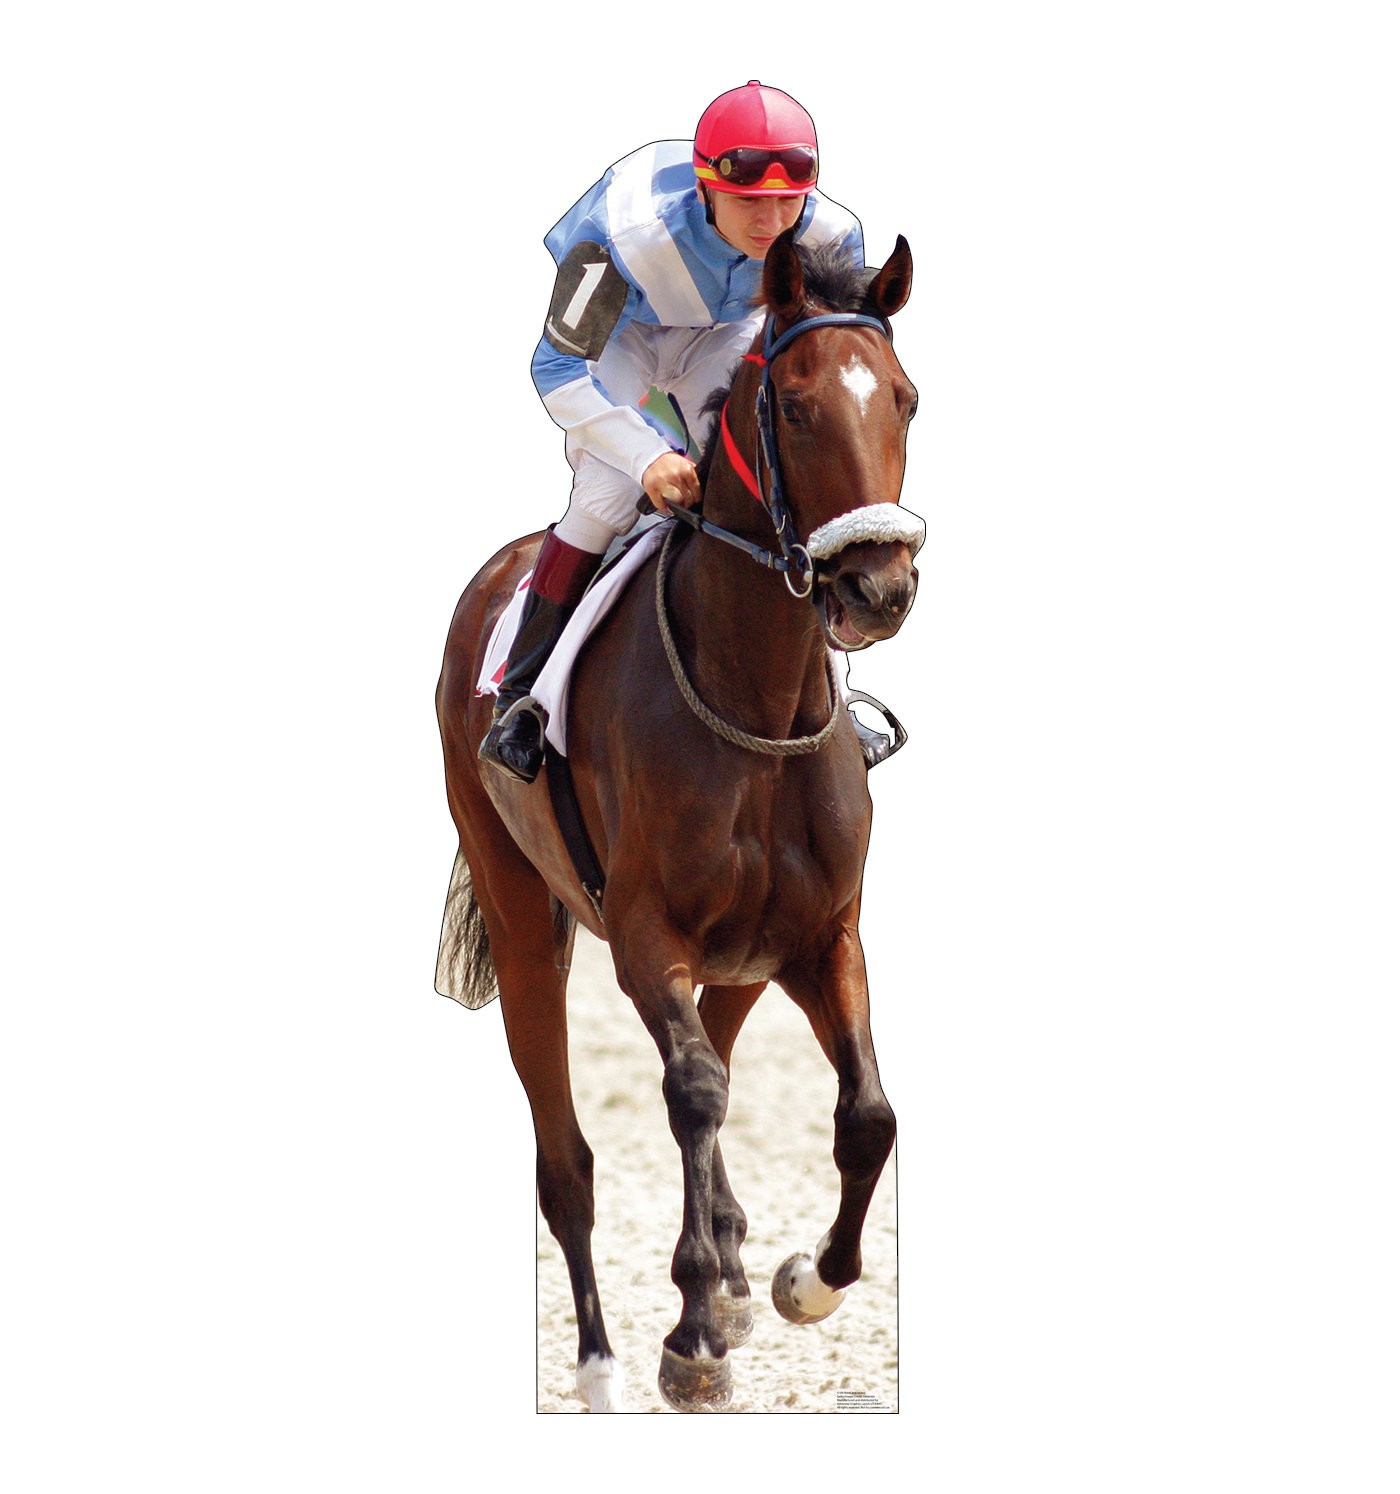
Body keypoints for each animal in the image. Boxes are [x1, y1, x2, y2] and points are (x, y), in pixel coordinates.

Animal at [435, 228, 922, 1412]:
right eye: (794, 404)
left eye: (903, 398)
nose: (878, 589)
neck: (756, 701)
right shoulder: (643, 938)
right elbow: (691, 1092)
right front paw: (693, 1332)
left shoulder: (822, 935)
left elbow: (867, 1114)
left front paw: (801, 1280)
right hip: (524, 923)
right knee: (567, 1159)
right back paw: (603, 1361)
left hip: (744, 958)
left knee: (725, 1052)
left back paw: (739, 1267)